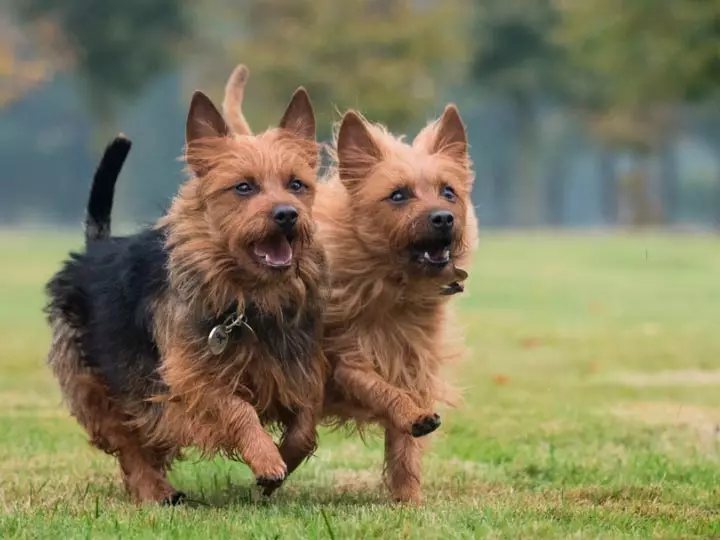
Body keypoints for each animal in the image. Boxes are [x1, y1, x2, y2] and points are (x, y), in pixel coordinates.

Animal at [45, 86, 326, 504]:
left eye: (296, 184)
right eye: (244, 187)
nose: (287, 214)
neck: (246, 296)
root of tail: (94, 249)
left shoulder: (294, 368)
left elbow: (306, 421)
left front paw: (284, 460)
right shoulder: (190, 378)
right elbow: (237, 407)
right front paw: (264, 457)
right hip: (97, 387)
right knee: (127, 442)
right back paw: (155, 489)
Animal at [222, 64, 476, 502]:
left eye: (449, 192)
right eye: (398, 195)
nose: (444, 217)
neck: (392, 288)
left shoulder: (412, 362)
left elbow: (405, 447)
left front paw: (409, 499)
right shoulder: (337, 358)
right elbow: (372, 385)